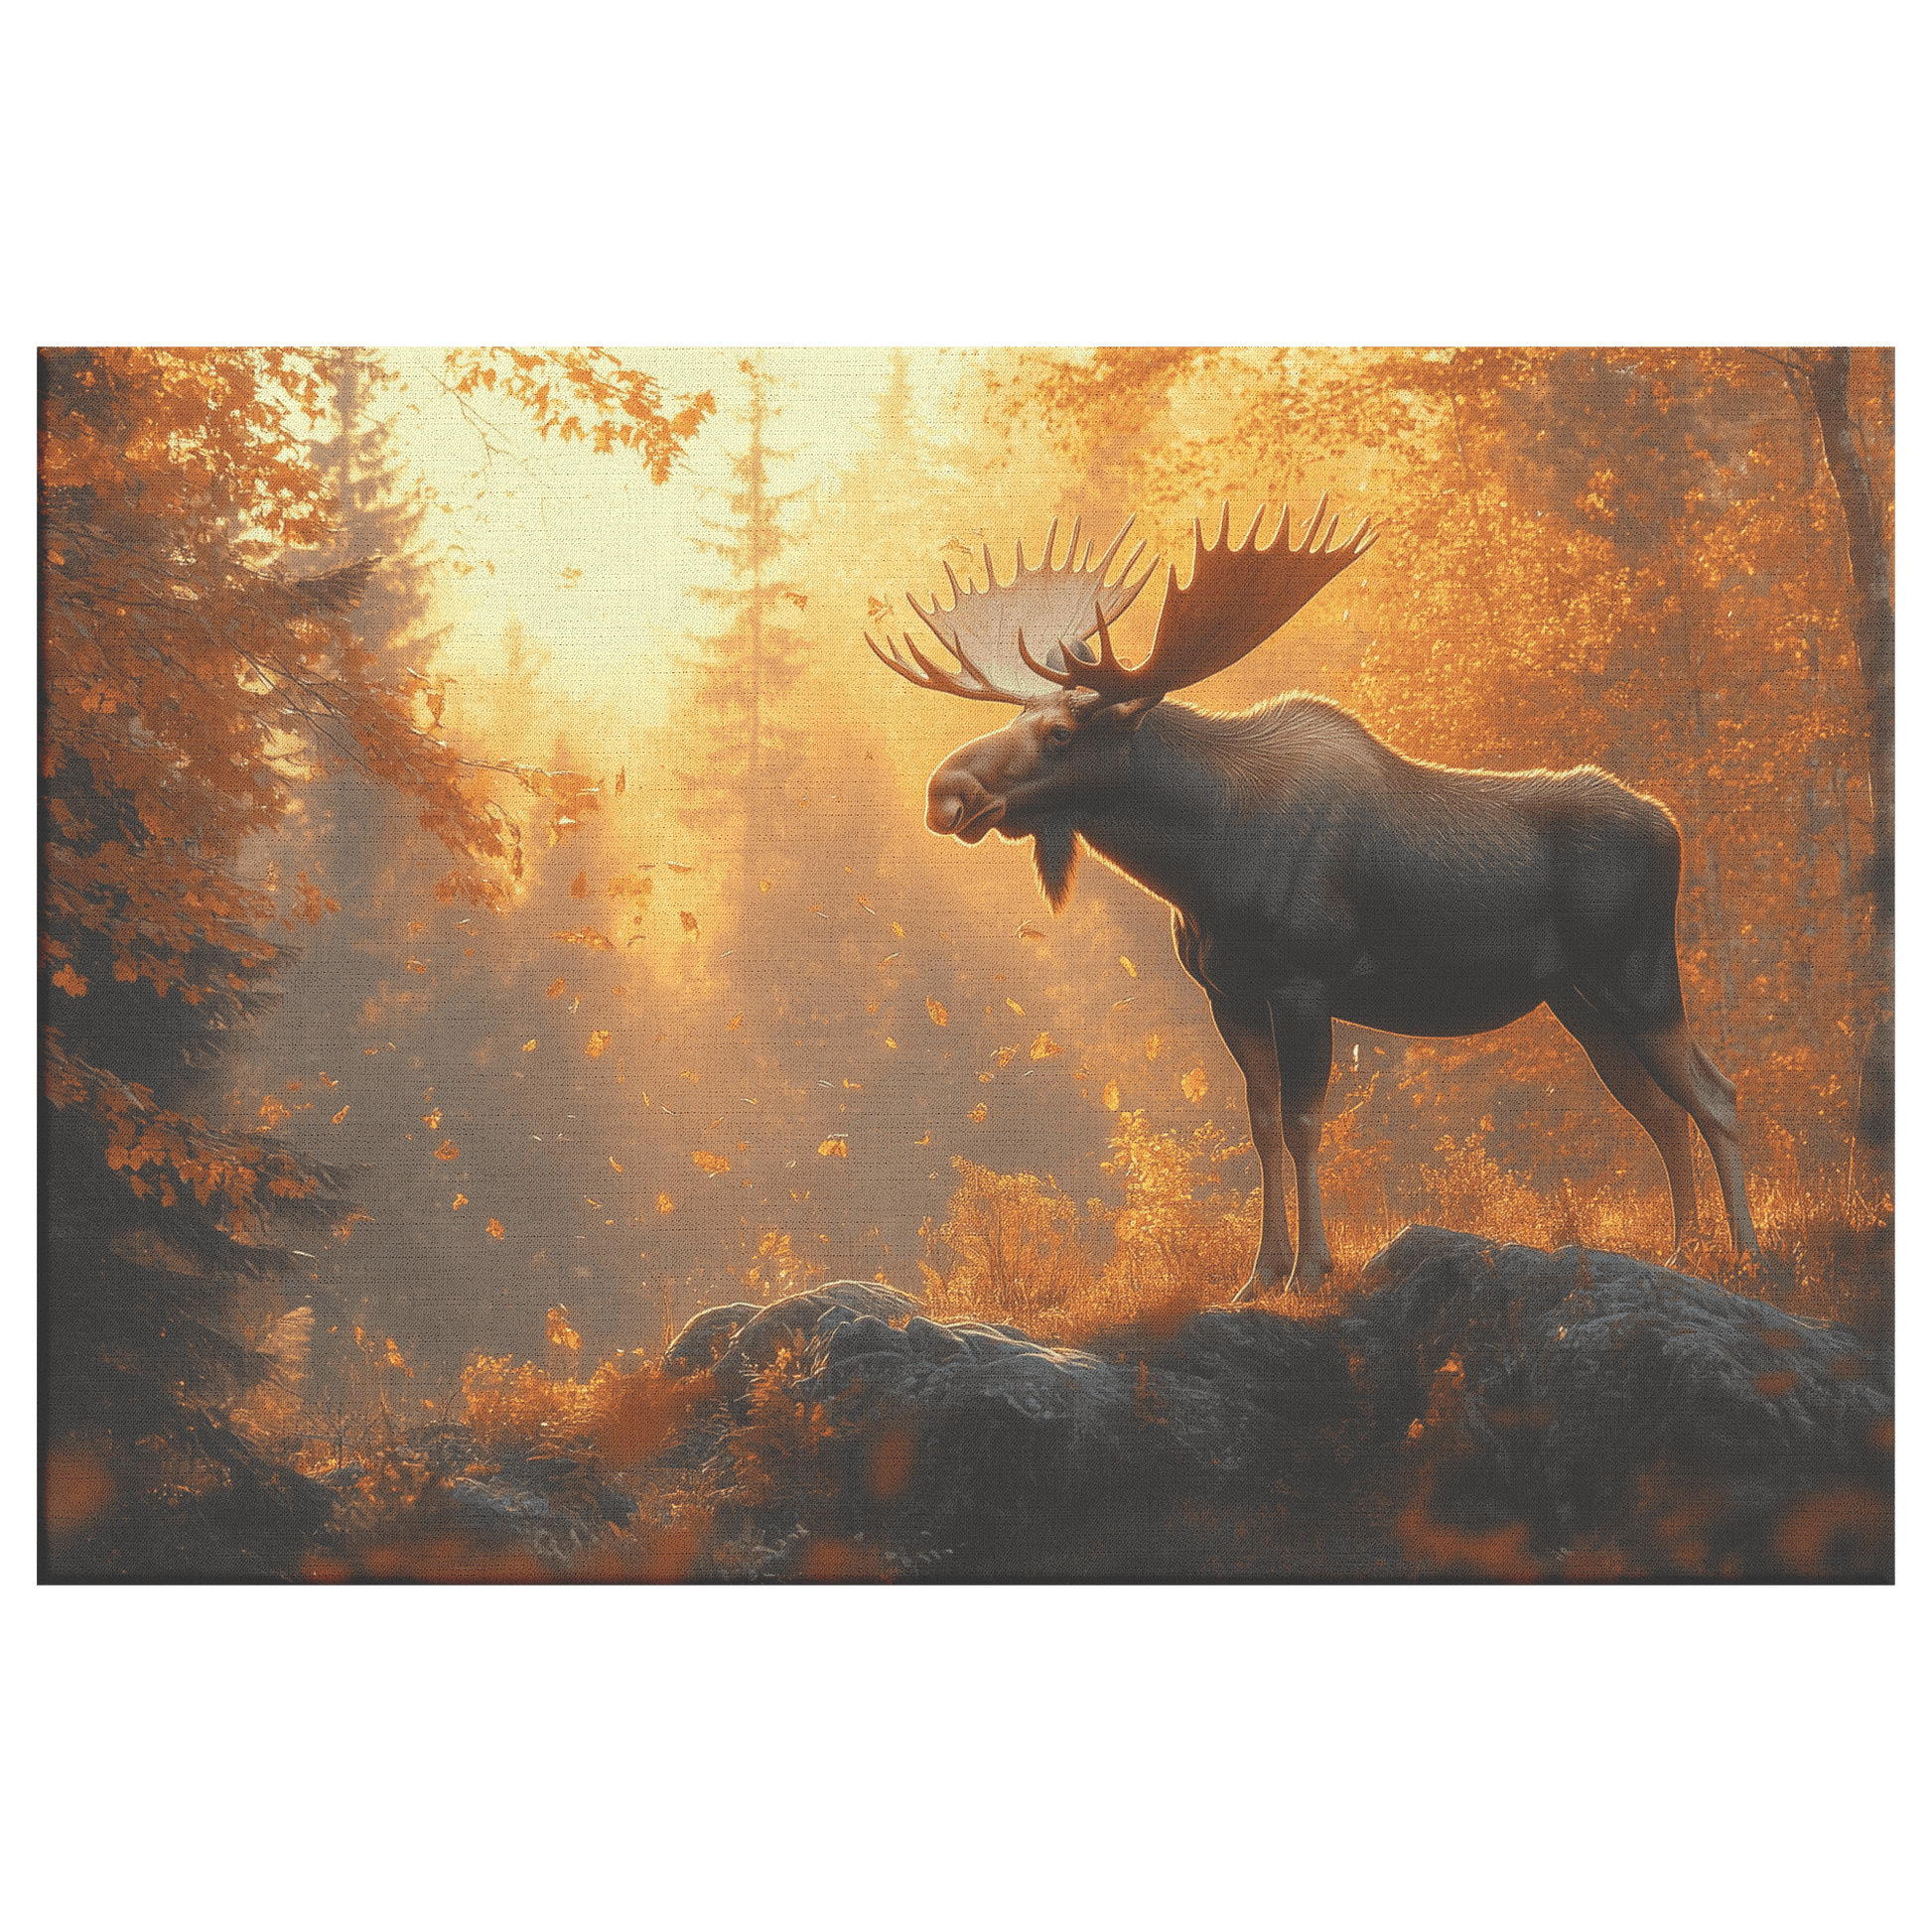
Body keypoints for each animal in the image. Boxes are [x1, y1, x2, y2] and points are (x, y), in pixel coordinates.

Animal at [866, 499, 1761, 1301]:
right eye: (1022, 714)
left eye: (1059, 735)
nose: (945, 792)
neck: (1205, 863)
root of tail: (1671, 824)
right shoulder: (1228, 993)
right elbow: (1261, 1124)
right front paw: (1258, 1275)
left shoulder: (1305, 981)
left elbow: (1303, 1123)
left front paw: (1311, 1270)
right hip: (1577, 999)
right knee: (1659, 1107)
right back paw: (1685, 1253)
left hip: (1640, 976)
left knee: (1715, 1093)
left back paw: (1747, 1255)